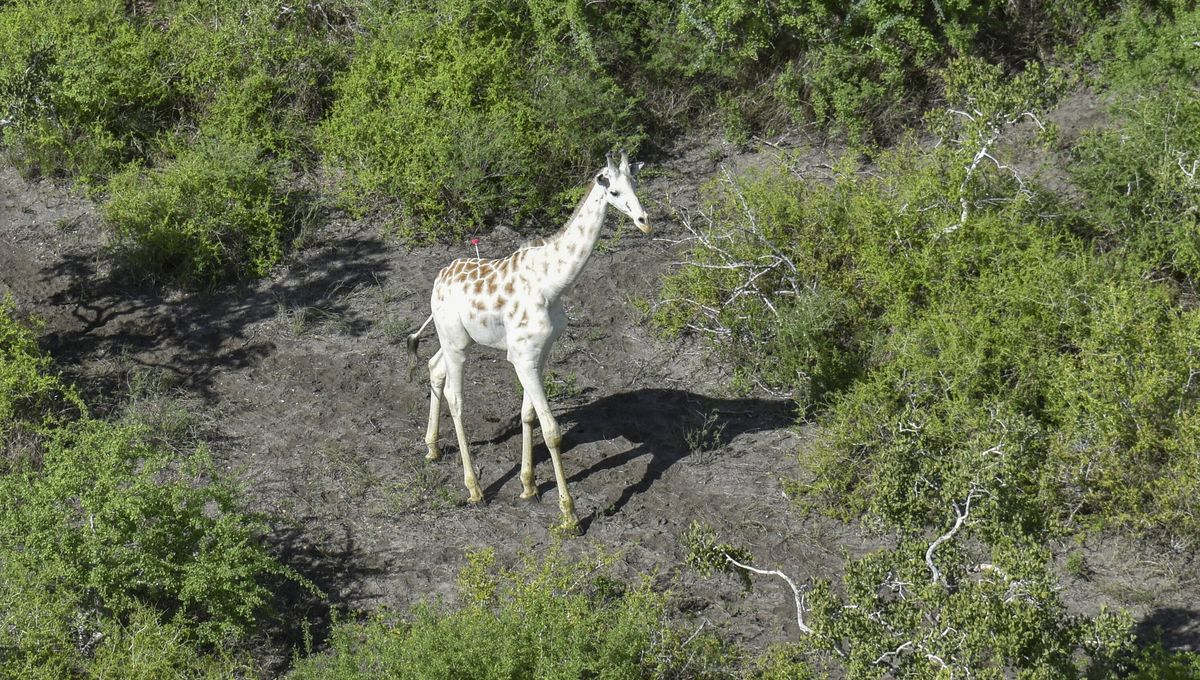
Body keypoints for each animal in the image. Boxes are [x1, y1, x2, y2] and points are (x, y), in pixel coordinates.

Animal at [406, 151, 649, 532]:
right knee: (456, 399)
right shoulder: (522, 356)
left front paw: (529, 486)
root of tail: (437, 280)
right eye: (612, 190)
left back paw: (432, 448)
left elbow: (528, 415)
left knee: (434, 367)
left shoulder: (539, 353)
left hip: (457, 339)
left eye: (636, 183)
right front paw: (569, 515)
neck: (552, 284)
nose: (643, 221)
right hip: (456, 343)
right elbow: (552, 431)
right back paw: (474, 489)